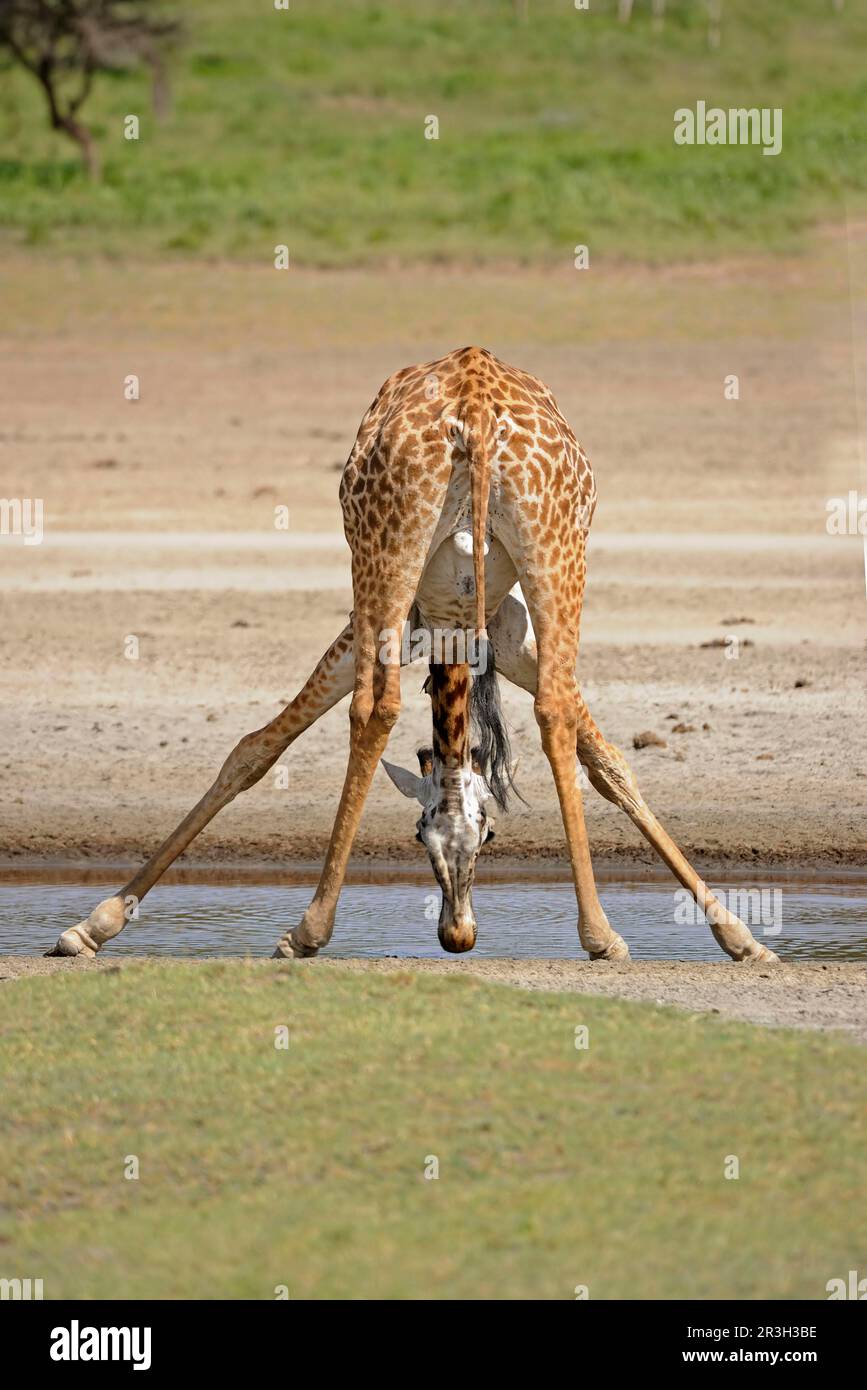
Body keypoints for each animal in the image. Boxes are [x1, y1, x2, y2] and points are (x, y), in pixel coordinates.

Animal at [46, 346, 779, 964]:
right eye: (420, 839)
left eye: (487, 838)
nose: (458, 936)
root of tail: (476, 411)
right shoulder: (497, 632)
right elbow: (604, 758)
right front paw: (740, 938)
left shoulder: (427, 626)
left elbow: (257, 747)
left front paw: (94, 923)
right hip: (552, 549)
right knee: (548, 712)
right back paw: (599, 933)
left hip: (387, 562)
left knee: (377, 709)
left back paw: (309, 929)